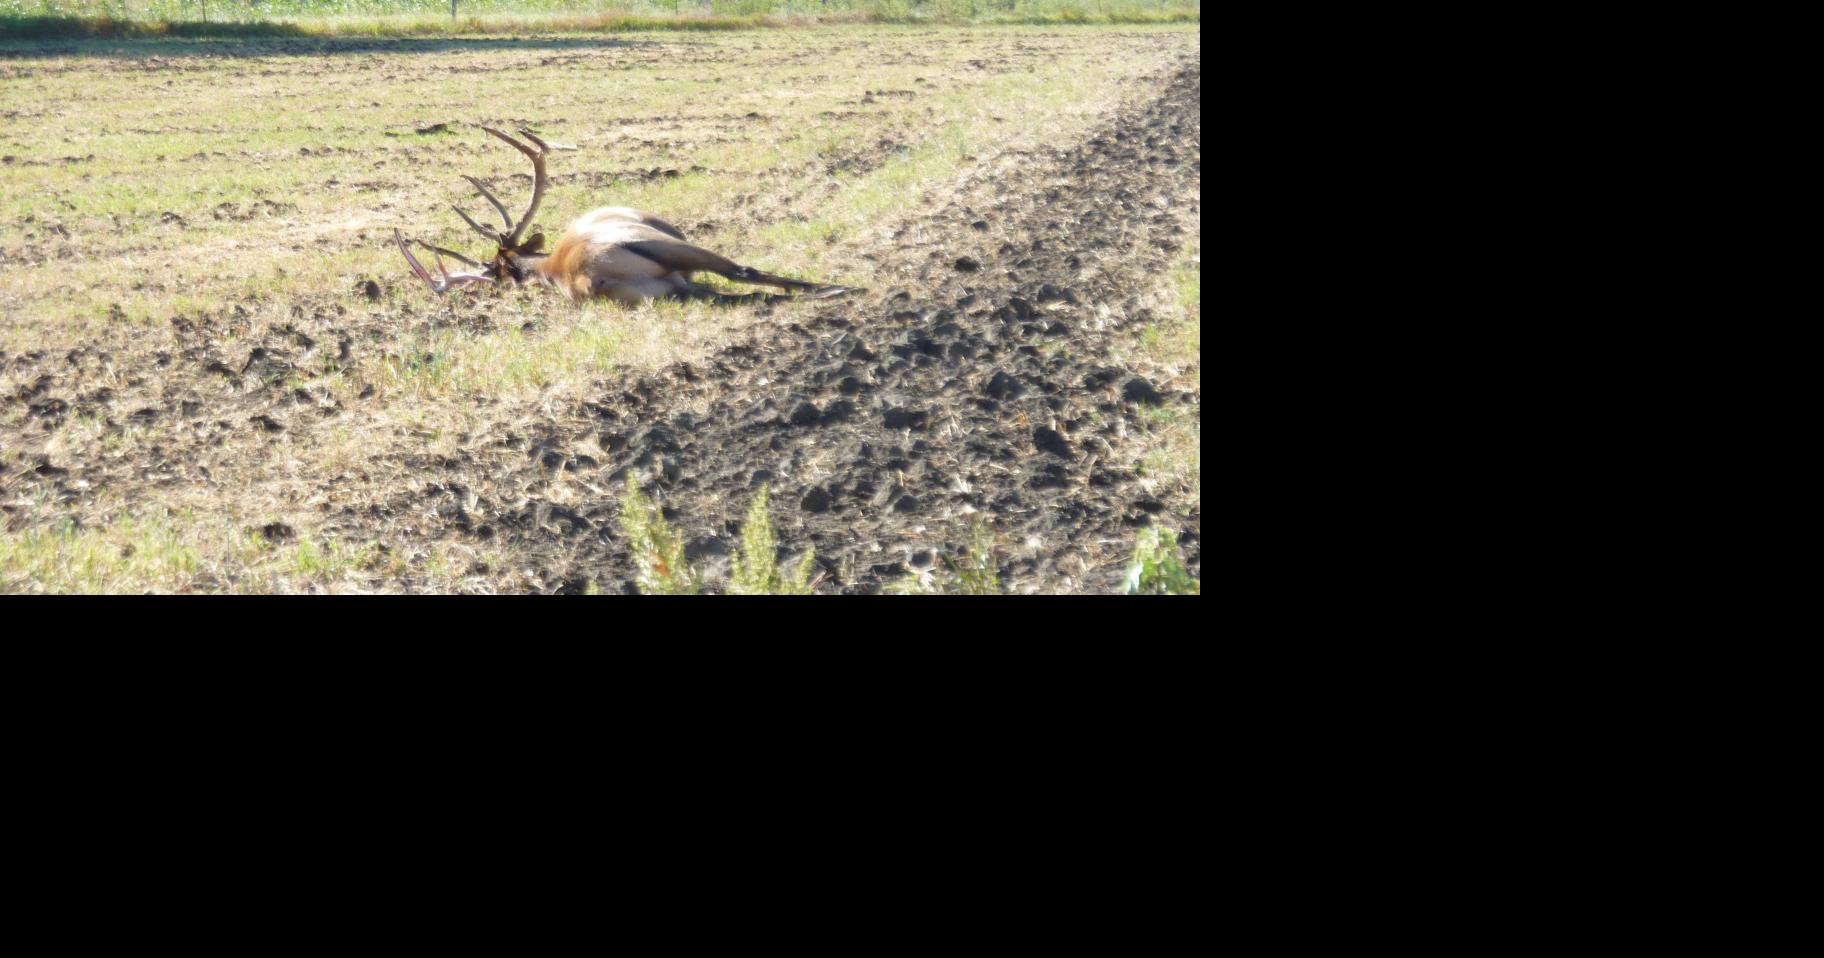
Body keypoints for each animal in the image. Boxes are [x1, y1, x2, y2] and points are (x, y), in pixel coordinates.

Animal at [394, 127, 859, 304]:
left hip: (669, 275)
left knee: (734, 283)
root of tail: (595, 270)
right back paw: (839, 288)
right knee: (740, 275)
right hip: (676, 259)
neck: (549, 267)